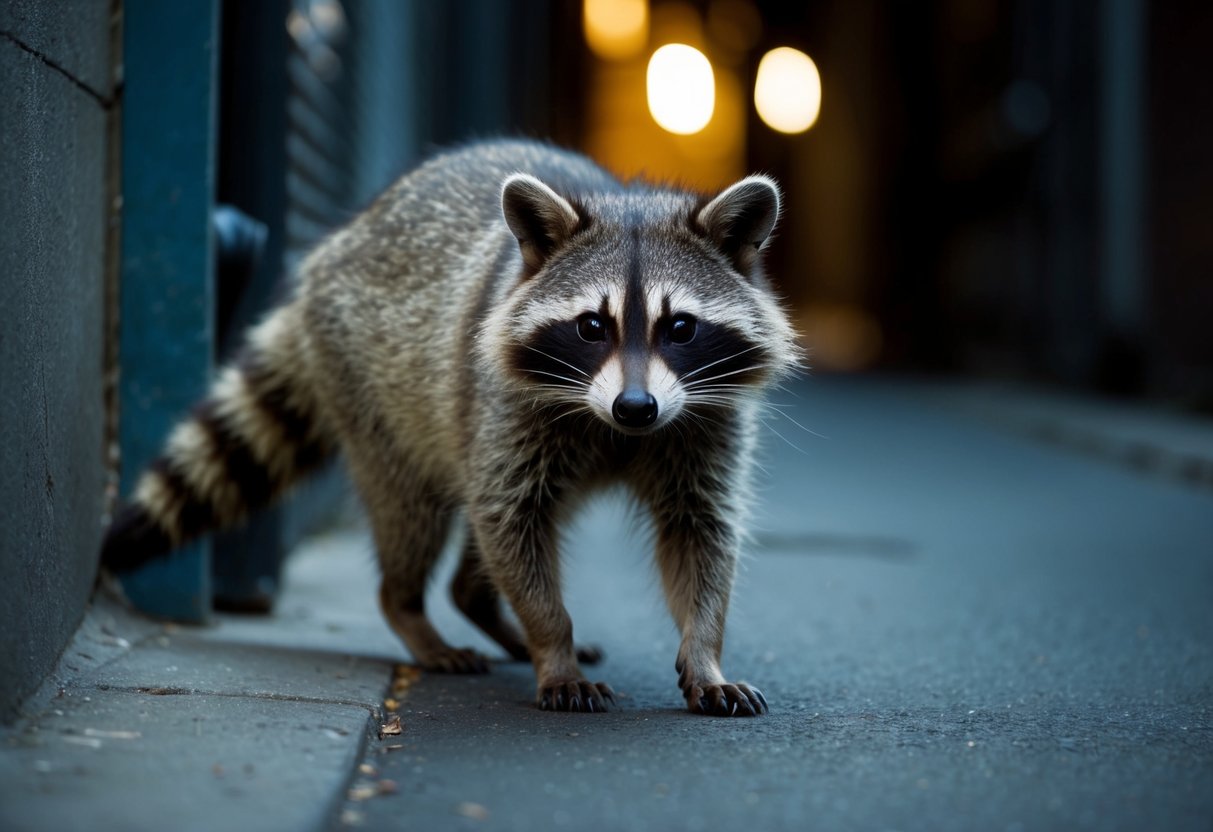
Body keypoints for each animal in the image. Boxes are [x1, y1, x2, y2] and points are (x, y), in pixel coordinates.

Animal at [102, 139, 801, 716]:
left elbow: (700, 531)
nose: (635, 408)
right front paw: (553, 642)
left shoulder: (705, 421)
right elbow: (510, 519)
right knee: (413, 511)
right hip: (377, 395)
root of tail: (331, 252)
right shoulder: (506, 404)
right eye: (590, 327)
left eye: (680, 327)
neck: (614, 429)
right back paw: (410, 607)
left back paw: (481, 606)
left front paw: (705, 652)